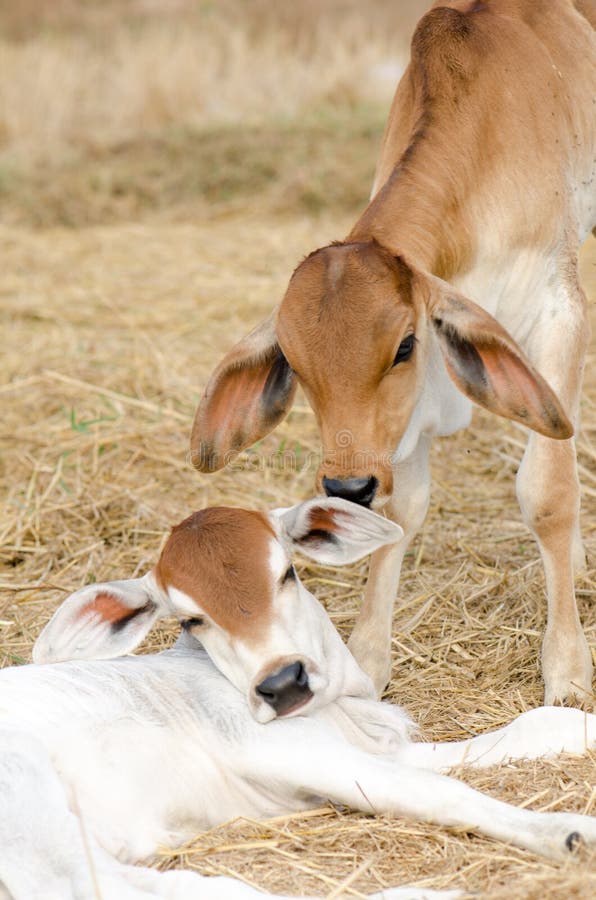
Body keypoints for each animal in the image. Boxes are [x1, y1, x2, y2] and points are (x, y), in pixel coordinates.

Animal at [2, 500, 595, 899]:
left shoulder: (376, 748)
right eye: (192, 619)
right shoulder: (290, 751)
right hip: (34, 815)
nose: (284, 681)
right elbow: (441, 794)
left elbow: (534, 725)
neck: (342, 706)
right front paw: (569, 833)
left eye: (286, 572)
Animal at [190, 0, 596, 705]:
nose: (346, 484)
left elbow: (548, 491)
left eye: (404, 343)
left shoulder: (559, 310)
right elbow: (401, 509)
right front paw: (368, 659)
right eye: (295, 365)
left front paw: (567, 671)